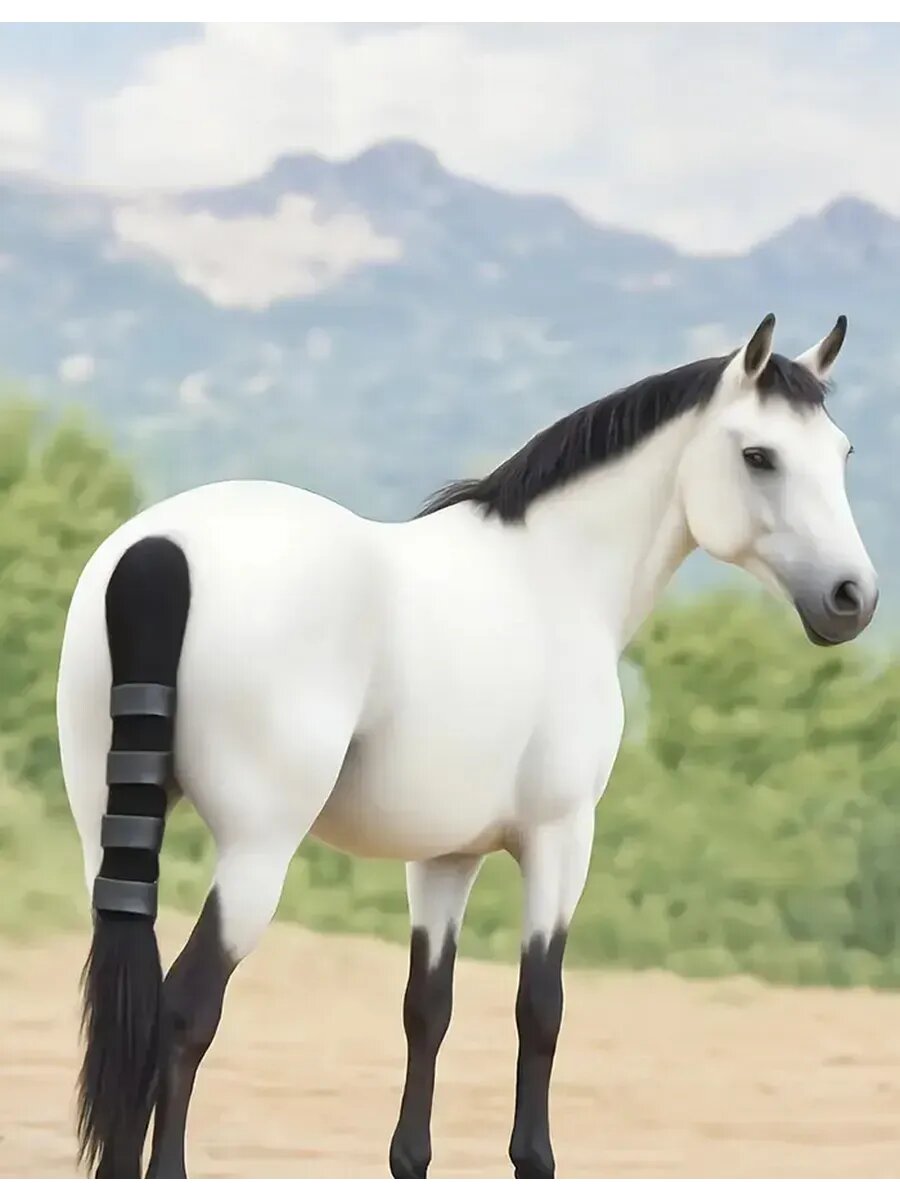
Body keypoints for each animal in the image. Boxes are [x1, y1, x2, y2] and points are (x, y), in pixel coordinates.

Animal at [56, 312, 878, 1179]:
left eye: (842, 452)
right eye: (760, 455)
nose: (852, 598)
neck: (553, 575)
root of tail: (159, 551)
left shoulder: (443, 859)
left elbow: (428, 1009)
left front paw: (412, 1157)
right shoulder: (560, 840)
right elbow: (539, 1008)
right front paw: (534, 1158)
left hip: (105, 836)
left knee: (128, 1003)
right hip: (256, 852)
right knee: (185, 1010)